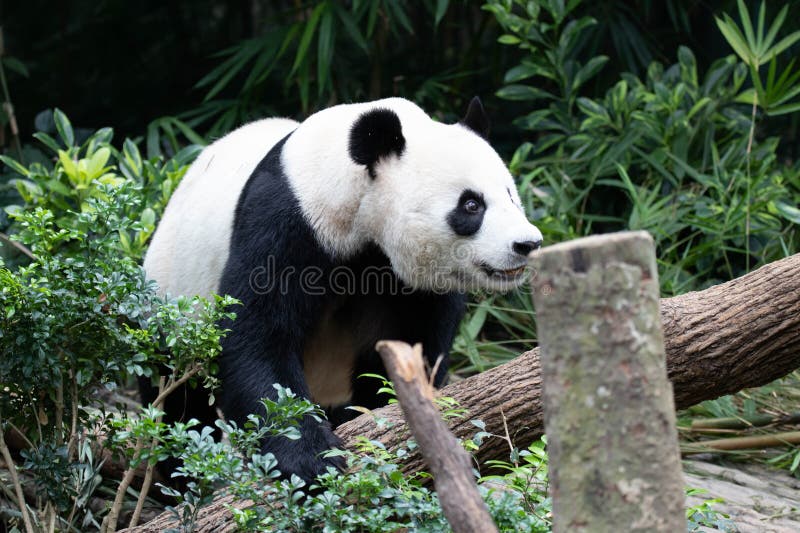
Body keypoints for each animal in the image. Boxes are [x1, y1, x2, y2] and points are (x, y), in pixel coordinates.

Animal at [143, 97, 543, 482]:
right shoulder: (288, 220)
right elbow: (256, 334)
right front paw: (309, 459)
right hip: (173, 298)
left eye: (511, 195)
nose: (527, 243)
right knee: (178, 401)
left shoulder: (410, 283)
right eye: (471, 204)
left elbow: (414, 345)